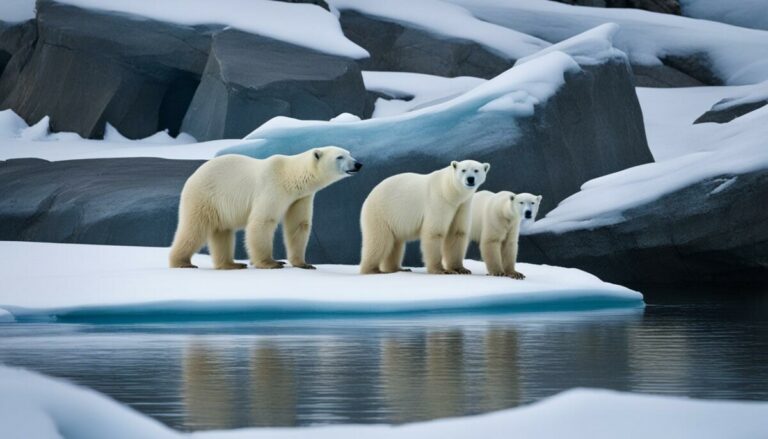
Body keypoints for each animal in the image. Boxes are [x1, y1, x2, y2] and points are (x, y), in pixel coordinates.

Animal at [169, 146, 362, 270]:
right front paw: (271, 263)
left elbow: (298, 225)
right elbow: (263, 221)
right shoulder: (272, 186)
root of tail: (193, 176)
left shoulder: (301, 197)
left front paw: (304, 263)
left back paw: (232, 264)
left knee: (222, 232)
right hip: (205, 196)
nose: (358, 164)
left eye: (350, 153)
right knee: (194, 228)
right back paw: (182, 262)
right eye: (339, 157)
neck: (290, 175)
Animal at [359, 160, 490, 275]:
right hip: (381, 213)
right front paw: (442, 270)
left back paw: (399, 268)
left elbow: (457, 233)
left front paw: (462, 269)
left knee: (395, 244)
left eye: (476, 170)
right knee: (379, 241)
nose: (470, 179)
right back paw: (372, 270)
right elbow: (435, 232)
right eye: (463, 170)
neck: (449, 191)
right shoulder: (439, 200)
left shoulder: (462, 206)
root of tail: (369, 195)